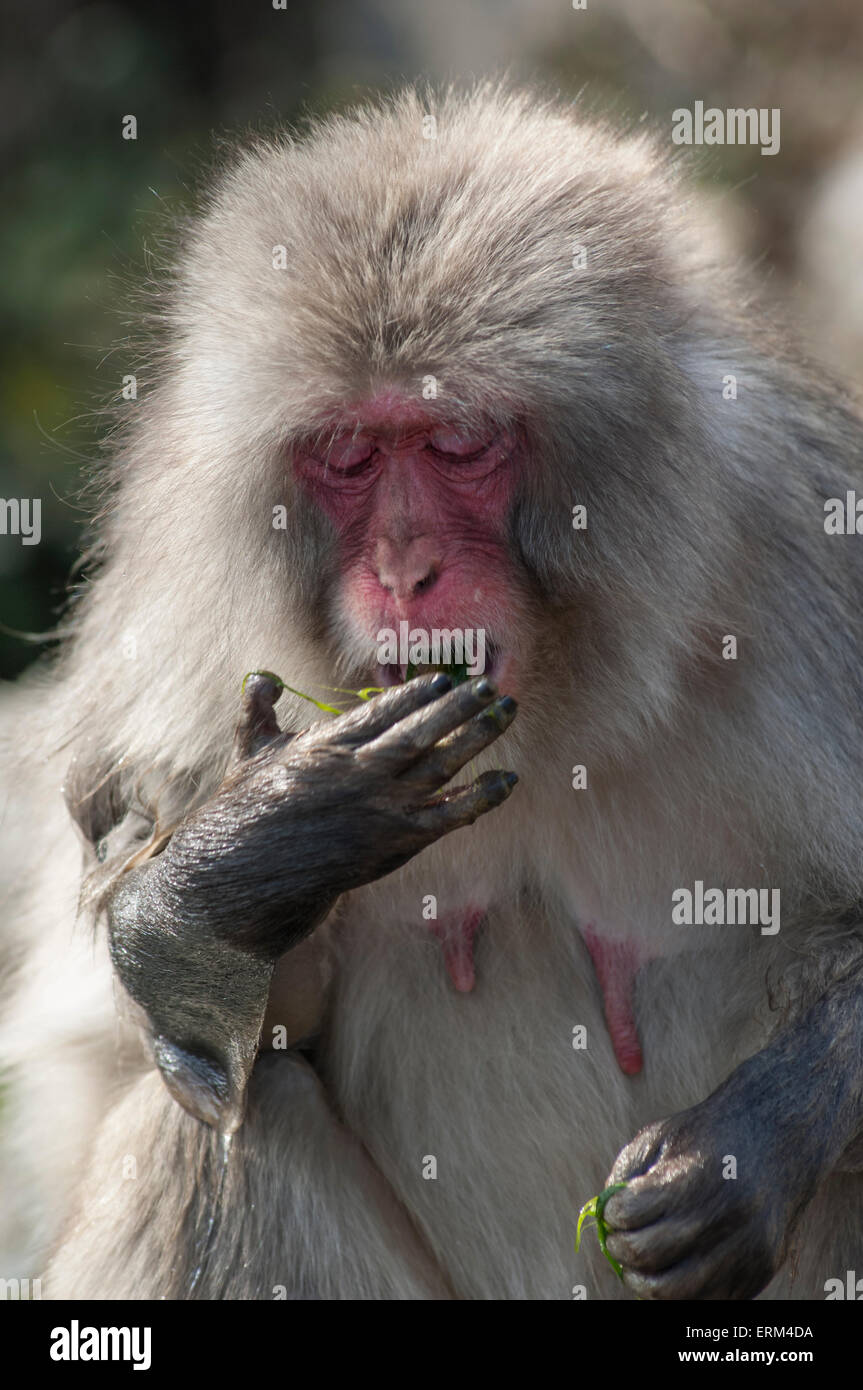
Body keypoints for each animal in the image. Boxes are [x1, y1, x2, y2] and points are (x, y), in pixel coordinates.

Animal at [1, 80, 863, 1301]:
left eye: (455, 441)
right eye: (349, 454)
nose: (405, 568)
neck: (558, 713)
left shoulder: (811, 565)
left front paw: (760, 1136)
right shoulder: (177, 658)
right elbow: (189, 1055)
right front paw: (240, 868)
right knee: (226, 1138)